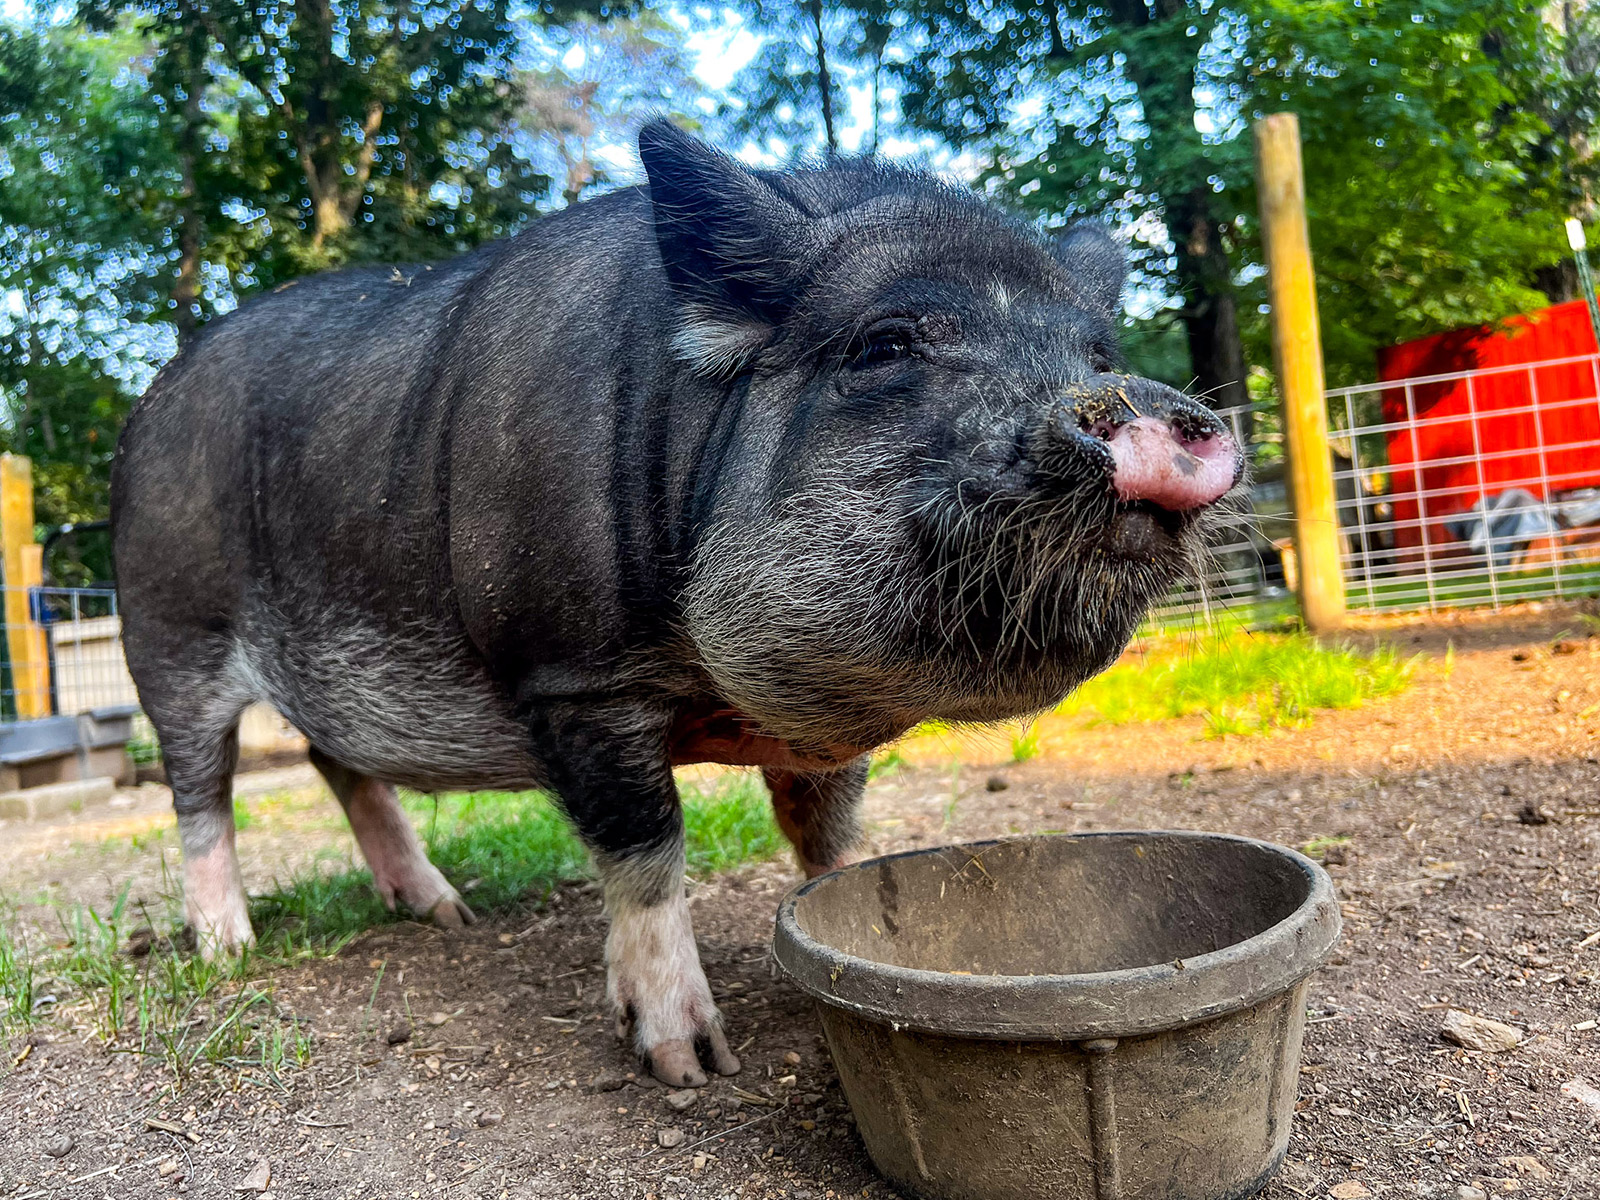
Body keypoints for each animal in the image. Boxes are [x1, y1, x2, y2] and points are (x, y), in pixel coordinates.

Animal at [111, 119, 1242, 1087]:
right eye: (884, 344)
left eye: (1095, 355)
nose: (1144, 405)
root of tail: (152, 397)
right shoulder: (571, 675)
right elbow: (645, 846)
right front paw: (690, 1064)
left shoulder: (821, 719)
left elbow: (826, 835)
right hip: (168, 629)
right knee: (199, 786)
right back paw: (226, 950)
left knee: (335, 764)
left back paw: (447, 916)